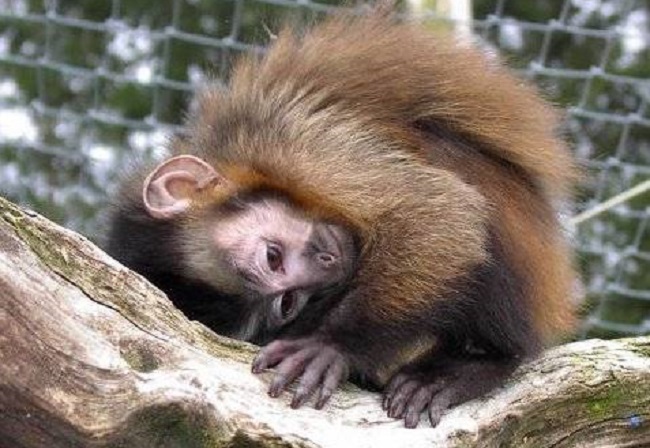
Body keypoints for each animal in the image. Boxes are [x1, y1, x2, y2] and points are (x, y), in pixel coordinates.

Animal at [105, 9, 579, 428]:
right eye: (288, 303)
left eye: (272, 257)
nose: (328, 268)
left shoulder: (289, 141)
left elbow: (439, 212)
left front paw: (332, 345)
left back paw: (482, 360)